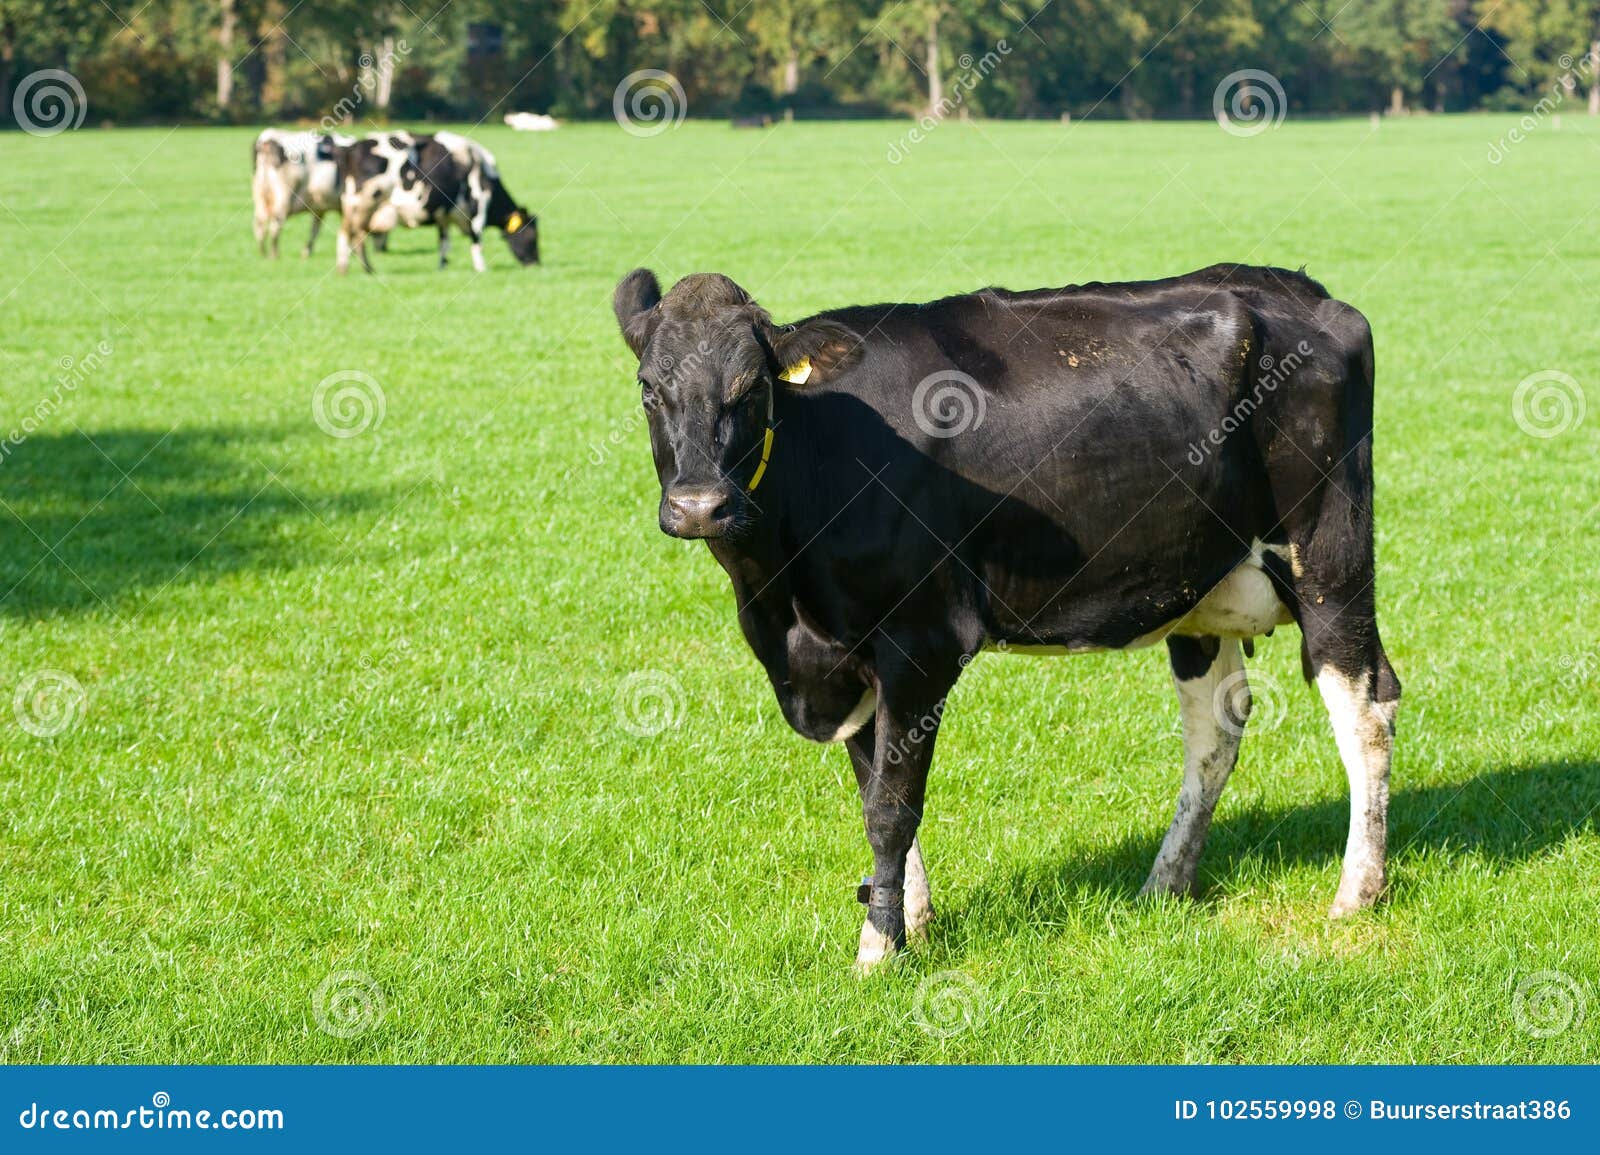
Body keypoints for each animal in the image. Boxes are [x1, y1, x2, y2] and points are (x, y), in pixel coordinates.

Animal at [251, 129, 353, 258]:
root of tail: (268, 136)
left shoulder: (320, 208)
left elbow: (315, 228)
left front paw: (306, 252)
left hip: (260, 196)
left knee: (259, 225)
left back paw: (262, 254)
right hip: (283, 198)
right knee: (275, 225)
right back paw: (275, 255)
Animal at [336, 130, 539, 274]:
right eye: (532, 236)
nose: (536, 263)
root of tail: (351, 149)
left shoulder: (444, 216)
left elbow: (444, 243)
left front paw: (442, 267)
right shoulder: (478, 208)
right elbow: (477, 240)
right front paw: (481, 268)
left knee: (349, 235)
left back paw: (350, 269)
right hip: (363, 205)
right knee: (354, 236)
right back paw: (361, 269)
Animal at [612, 263, 1401, 973]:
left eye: (753, 388)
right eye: (649, 388)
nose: (699, 506)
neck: (782, 605)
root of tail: (1298, 291)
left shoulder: (920, 642)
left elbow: (892, 806)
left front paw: (878, 950)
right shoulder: (844, 658)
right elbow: (874, 791)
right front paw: (911, 921)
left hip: (1329, 557)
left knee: (1366, 711)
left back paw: (1356, 891)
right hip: (1202, 589)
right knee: (1216, 729)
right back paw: (1166, 882)